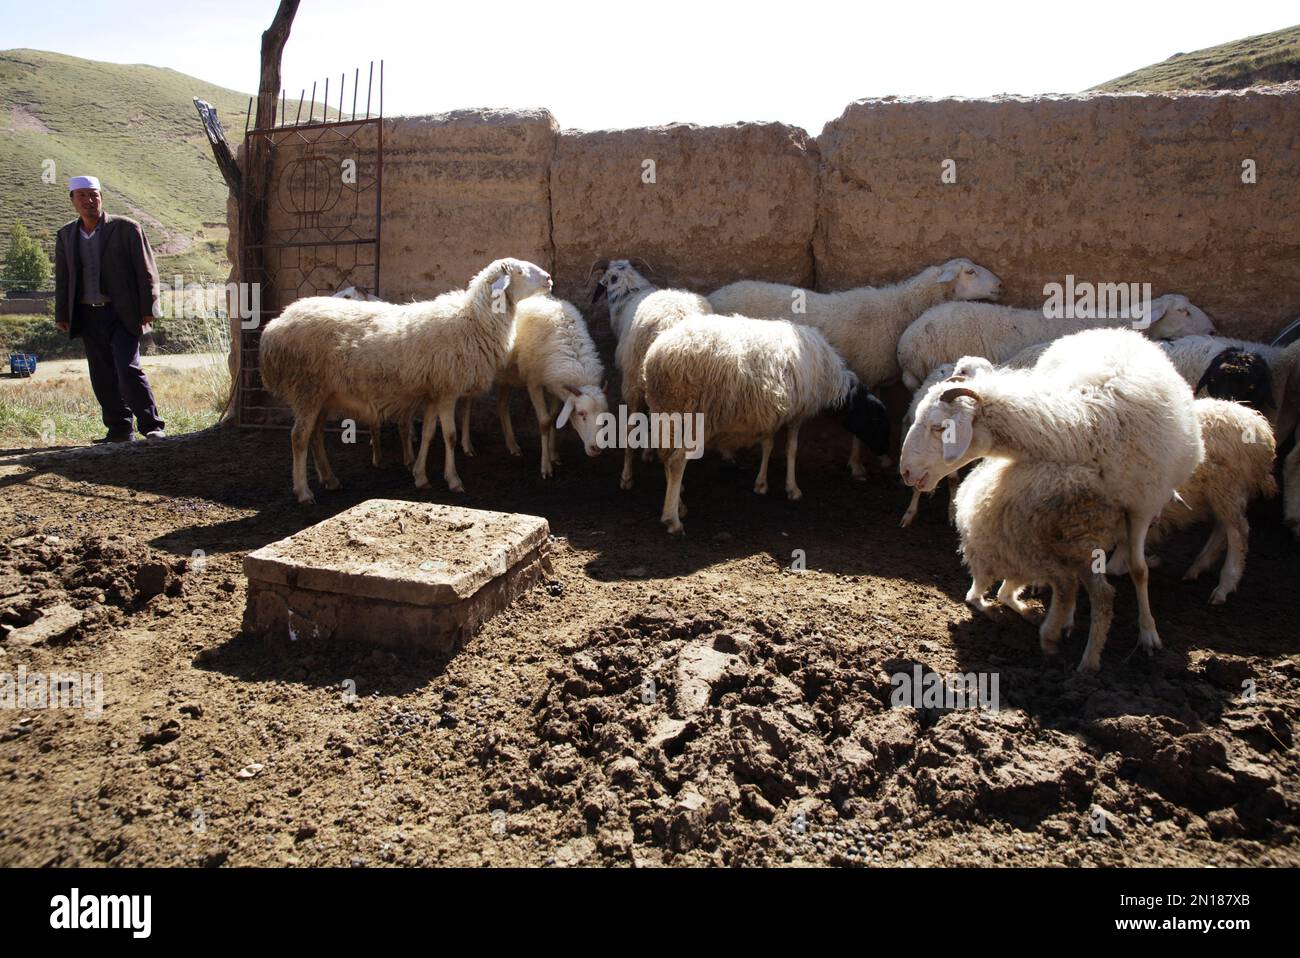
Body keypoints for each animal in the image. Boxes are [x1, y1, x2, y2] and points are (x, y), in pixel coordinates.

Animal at [261, 257, 552, 503]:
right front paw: (453, 480)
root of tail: (274, 327)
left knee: (316, 435)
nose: (549, 278)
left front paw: (420, 476)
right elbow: (449, 436)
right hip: (306, 388)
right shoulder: (447, 390)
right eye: (520, 271)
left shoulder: (433, 391)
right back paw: (303, 491)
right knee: (299, 437)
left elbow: (428, 434)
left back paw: (330, 479)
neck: (473, 321)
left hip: (322, 394)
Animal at [457, 294, 608, 477]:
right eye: (581, 414)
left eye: (604, 417)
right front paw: (546, 466)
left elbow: (554, 417)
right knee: (467, 402)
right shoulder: (534, 382)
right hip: (477, 367)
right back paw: (467, 445)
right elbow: (544, 422)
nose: (596, 449)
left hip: (507, 374)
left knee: (501, 405)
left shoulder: (555, 384)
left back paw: (512, 445)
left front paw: (554, 454)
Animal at [642, 313, 890, 534]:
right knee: (677, 461)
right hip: (696, 417)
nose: (885, 452)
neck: (831, 383)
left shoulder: (771, 413)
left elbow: (768, 445)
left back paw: (679, 505)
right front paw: (793, 489)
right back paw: (673, 520)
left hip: (666, 413)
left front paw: (761, 484)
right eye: (878, 419)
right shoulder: (797, 414)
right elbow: (791, 449)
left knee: (666, 457)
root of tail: (658, 358)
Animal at [708, 259, 1003, 479]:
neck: (898, 309)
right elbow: (862, 426)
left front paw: (882, 457)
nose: (1000, 285)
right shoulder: (868, 374)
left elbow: (881, 410)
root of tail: (714, 295)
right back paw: (727, 451)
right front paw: (859, 465)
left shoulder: (878, 379)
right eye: (970, 271)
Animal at [900, 328, 1204, 663]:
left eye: (939, 427)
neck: (1086, 427)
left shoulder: (1141, 507)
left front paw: (1148, 632)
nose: (905, 471)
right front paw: (1062, 619)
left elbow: (1139, 571)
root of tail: (1113, 330)